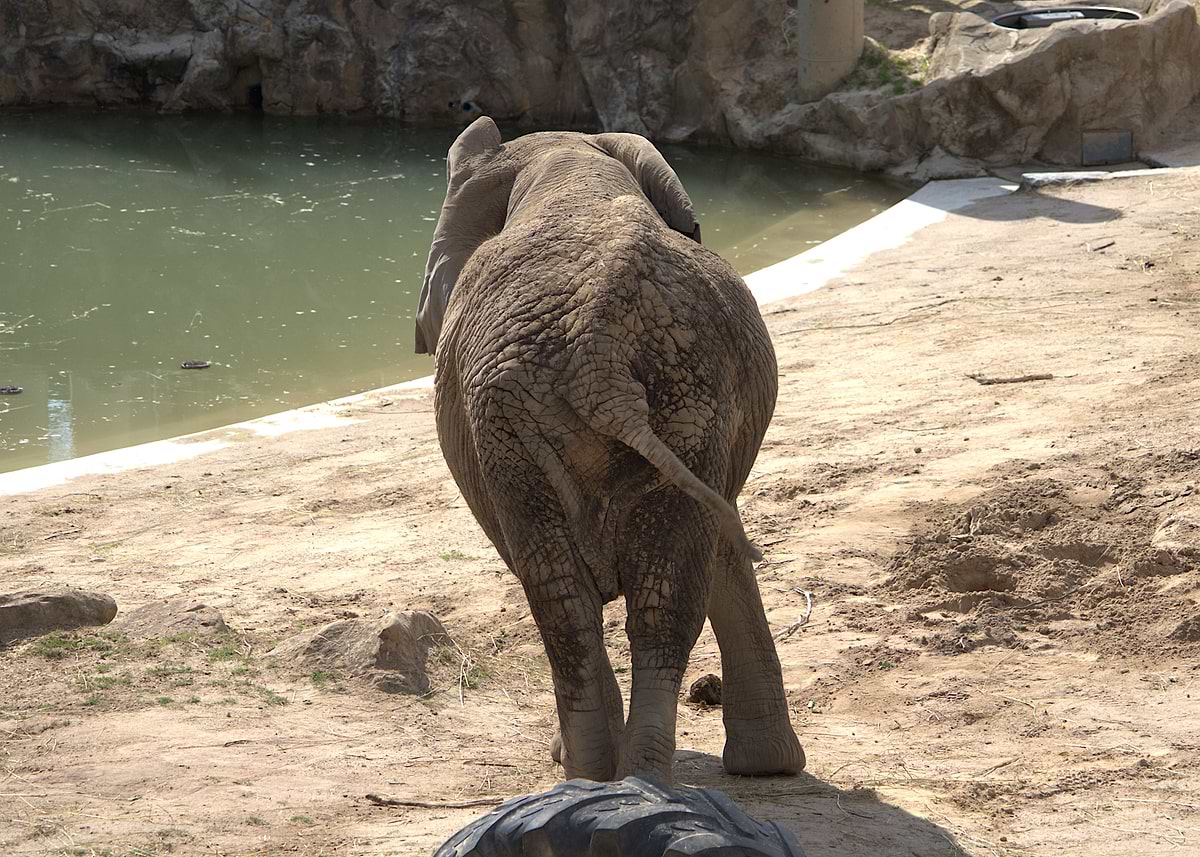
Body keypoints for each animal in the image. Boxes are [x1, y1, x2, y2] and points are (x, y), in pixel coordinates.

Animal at [415, 116, 804, 783]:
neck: (565, 157)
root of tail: (598, 353)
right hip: (626, 413)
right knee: (604, 600)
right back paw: (620, 780)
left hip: (653, 409)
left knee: (596, 600)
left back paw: (614, 780)